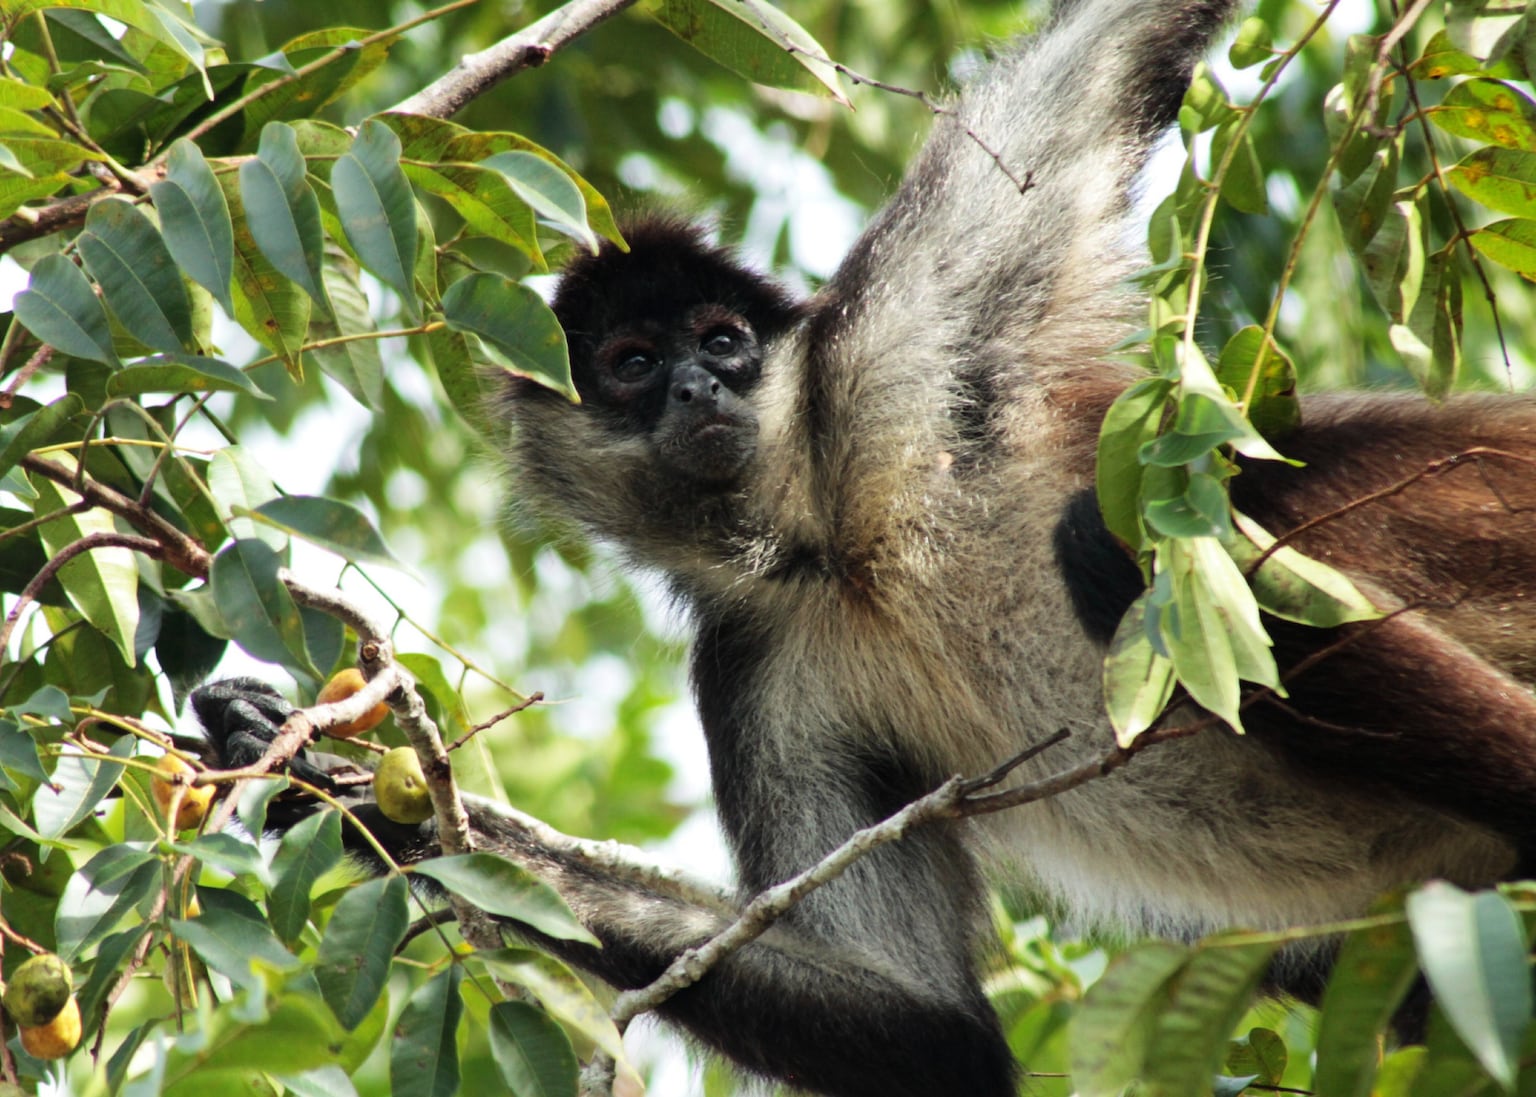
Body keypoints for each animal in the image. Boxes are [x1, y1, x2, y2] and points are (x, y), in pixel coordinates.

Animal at [190, 1, 1536, 1094]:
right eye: (629, 363)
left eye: (722, 340)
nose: (695, 387)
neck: (832, 544)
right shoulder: (752, 655)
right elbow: (931, 1027)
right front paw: (330, 783)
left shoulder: (900, 339)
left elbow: (1117, 47)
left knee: (1115, 540)